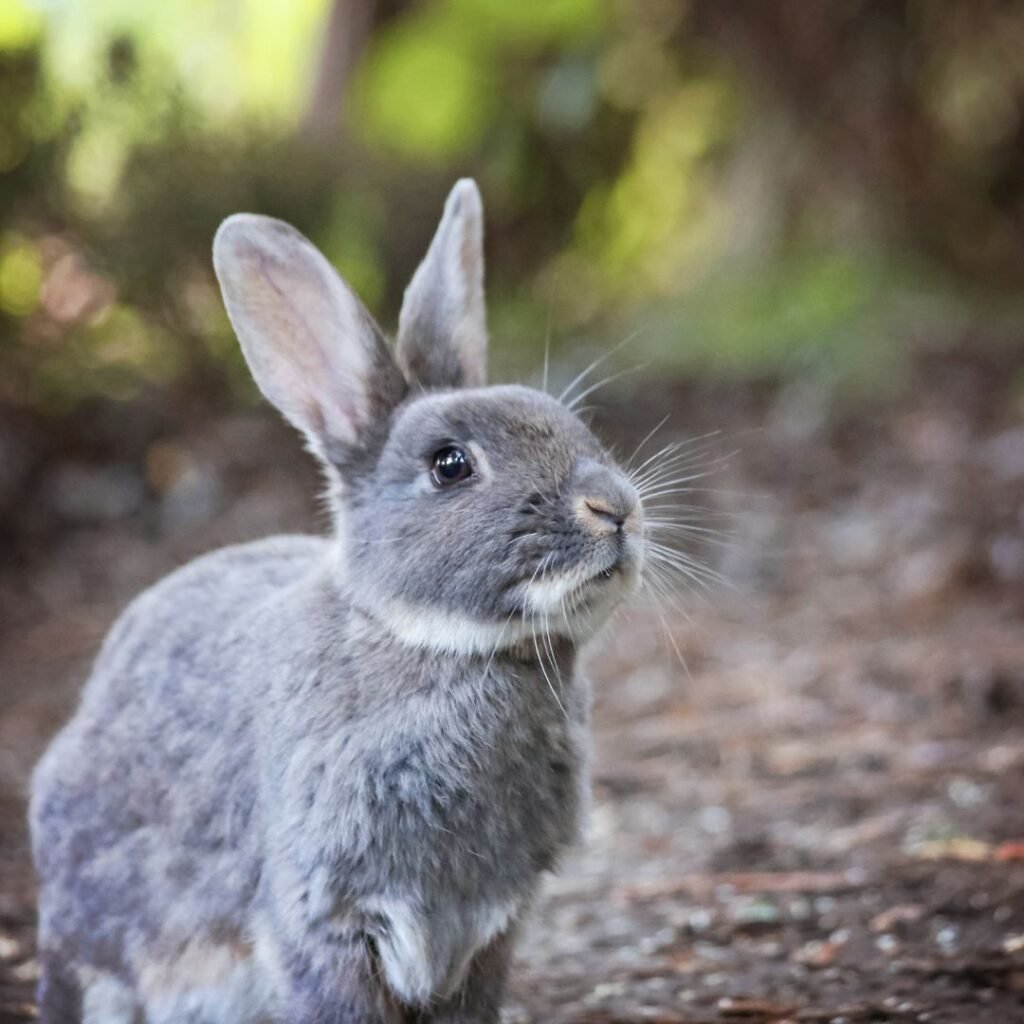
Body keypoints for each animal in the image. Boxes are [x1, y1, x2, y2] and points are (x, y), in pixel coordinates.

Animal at [29, 179, 645, 1024]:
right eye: (450, 465)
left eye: (572, 426)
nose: (615, 509)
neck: (429, 641)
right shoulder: (322, 914)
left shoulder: (486, 926)